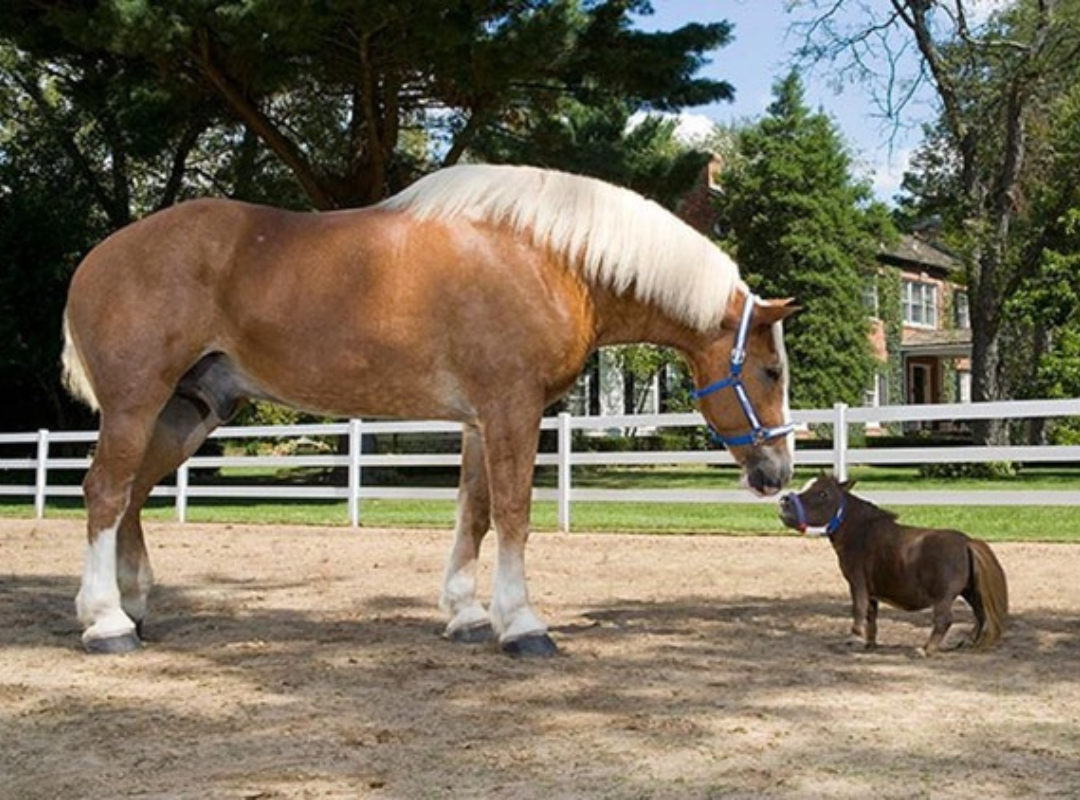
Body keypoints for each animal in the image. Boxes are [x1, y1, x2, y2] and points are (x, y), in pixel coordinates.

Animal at [62, 164, 798, 657]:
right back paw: (106, 623)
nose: (778, 473)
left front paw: (468, 615)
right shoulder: (512, 409)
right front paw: (521, 624)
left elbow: (473, 514)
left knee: (134, 492)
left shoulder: (479, 420)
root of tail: (96, 259)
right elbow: (513, 514)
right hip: (135, 404)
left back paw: (133, 605)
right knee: (106, 491)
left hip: (191, 410)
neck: (551, 260)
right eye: (770, 370)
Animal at [778, 474, 1008, 655]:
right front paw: (869, 643)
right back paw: (969, 642)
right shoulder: (871, 590)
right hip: (969, 591)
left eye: (823, 493)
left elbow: (859, 609)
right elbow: (871, 615)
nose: (784, 502)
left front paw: (854, 639)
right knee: (980, 613)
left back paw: (927, 649)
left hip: (943, 597)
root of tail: (967, 542)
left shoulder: (857, 582)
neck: (860, 532)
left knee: (945, 620)